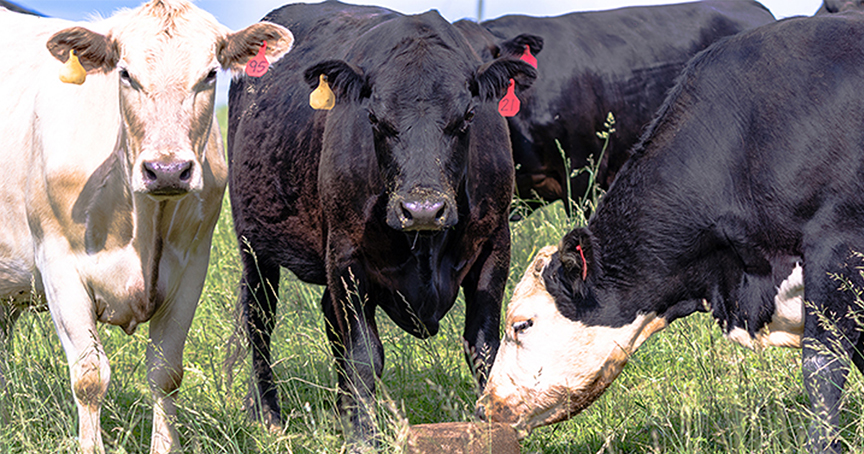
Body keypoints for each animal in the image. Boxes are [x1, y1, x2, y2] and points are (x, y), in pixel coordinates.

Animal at [0, 2, 293, 453]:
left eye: (210, 74)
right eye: (125, 73)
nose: (167, 170)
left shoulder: (192, 268)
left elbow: (166, 374)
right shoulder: (58, 265)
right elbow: (89, 377)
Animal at [226, 0, 535, 446]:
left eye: (468, 116)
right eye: (374, 118)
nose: (422, 209)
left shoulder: (495, 245)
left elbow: (484, 348)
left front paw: (492, 427)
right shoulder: (346, 254)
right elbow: (364, 354)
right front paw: (362, 437)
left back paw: (341, 411)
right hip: (254, 245)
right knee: (260, 321)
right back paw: (269, 415)